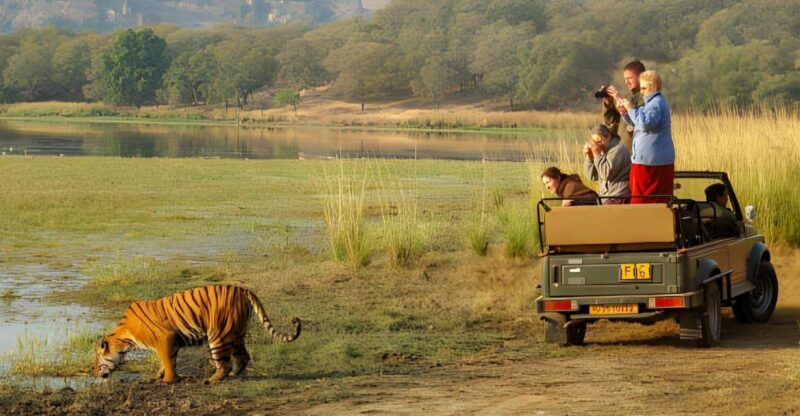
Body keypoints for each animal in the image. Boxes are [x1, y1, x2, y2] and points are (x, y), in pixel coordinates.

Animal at [93, 284, 301, 384]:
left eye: (96, 360)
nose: (95, 372)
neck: (124, 338)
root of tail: (244, 290)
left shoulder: (166, 338)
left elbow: (167, 361)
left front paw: (168, 380)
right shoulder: (172, 342)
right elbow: (167, 361)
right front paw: (160, 376)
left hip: (218, 335)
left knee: (224, 364)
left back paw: (211, 380)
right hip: (236, 333)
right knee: (243, 356)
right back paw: (234, 374)